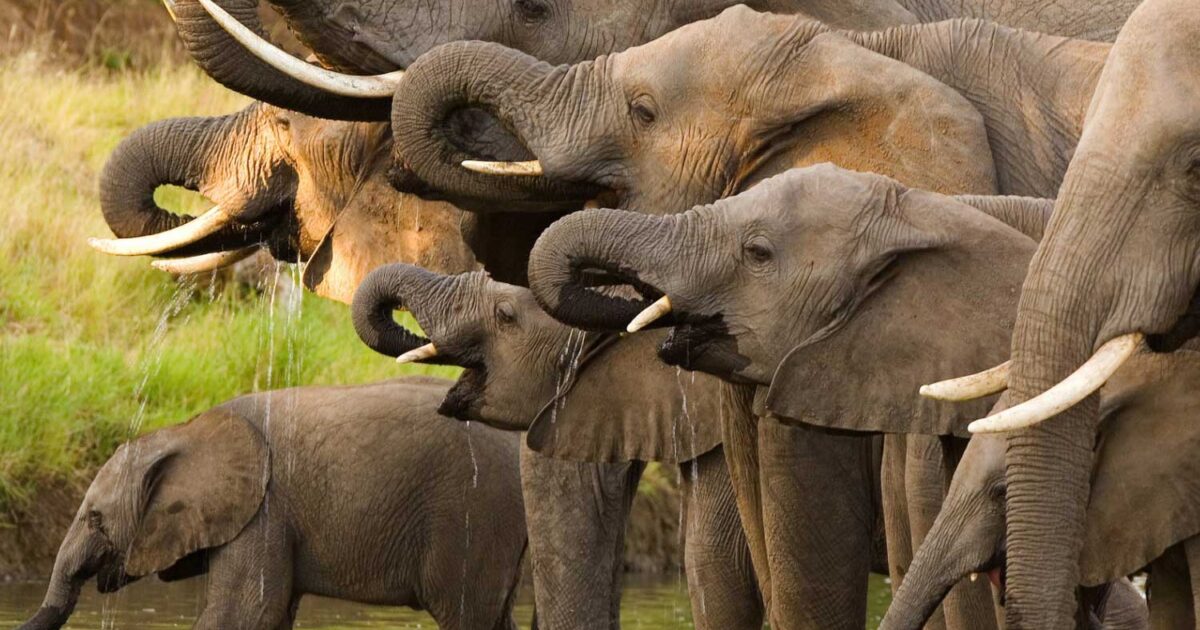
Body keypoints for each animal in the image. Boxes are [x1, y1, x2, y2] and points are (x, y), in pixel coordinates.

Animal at [16, 377, 527, 630]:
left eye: (94, 518)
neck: (186, 429)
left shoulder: (264, 512)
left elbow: (242, 614)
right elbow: (272, 615)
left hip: (473, 514)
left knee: (466, 616)